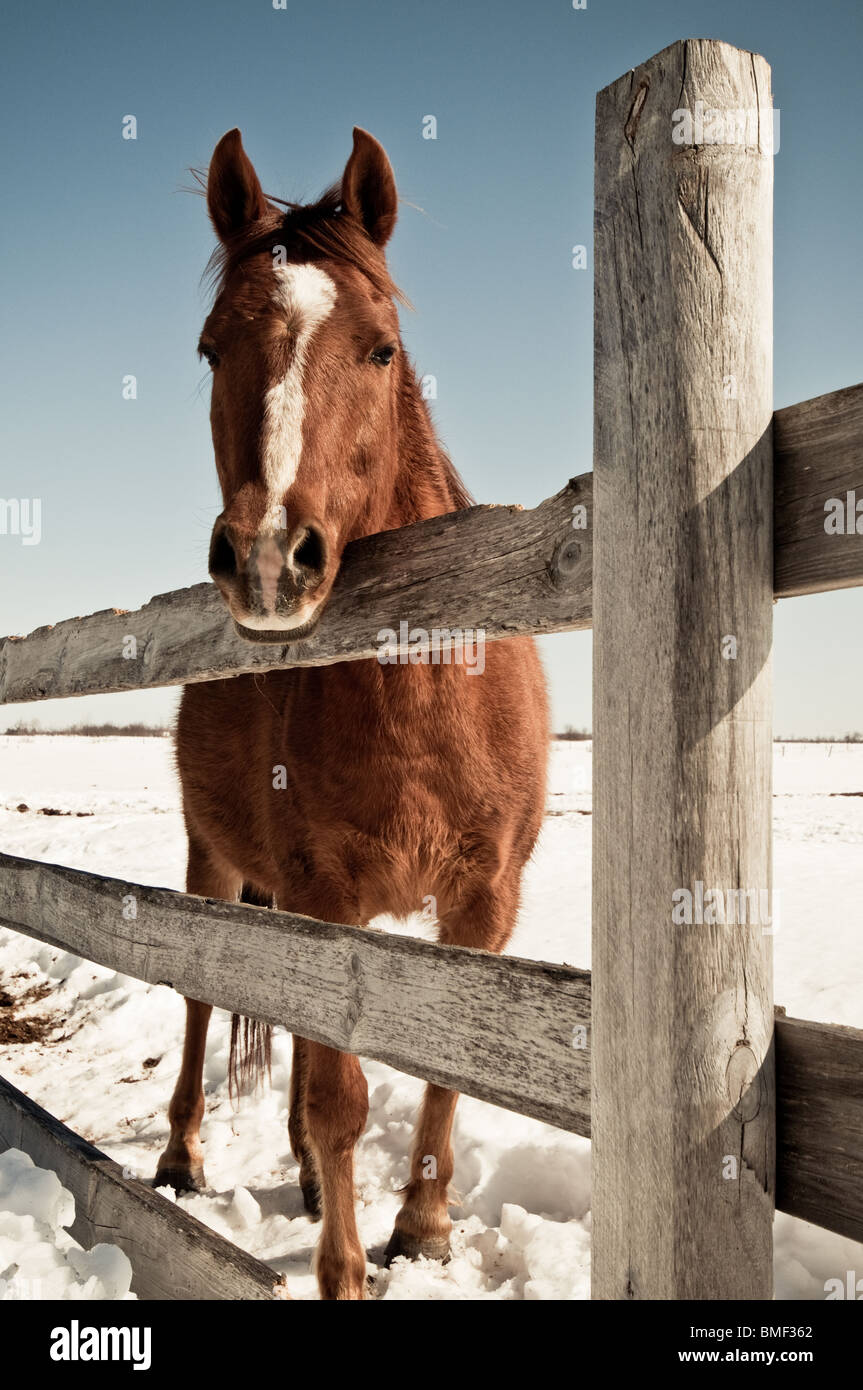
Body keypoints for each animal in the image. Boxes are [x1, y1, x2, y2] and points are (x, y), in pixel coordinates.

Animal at [155, 126, 549, 1300]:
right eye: (209, 349)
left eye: (379, 349)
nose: (267, 560)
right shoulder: (324, 893)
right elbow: (340, 1096)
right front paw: (343, 1268)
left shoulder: (483, 898)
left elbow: (438, 1067)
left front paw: (422, 1226)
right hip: (215, 864)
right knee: (201, 1005)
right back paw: (182, 1159)